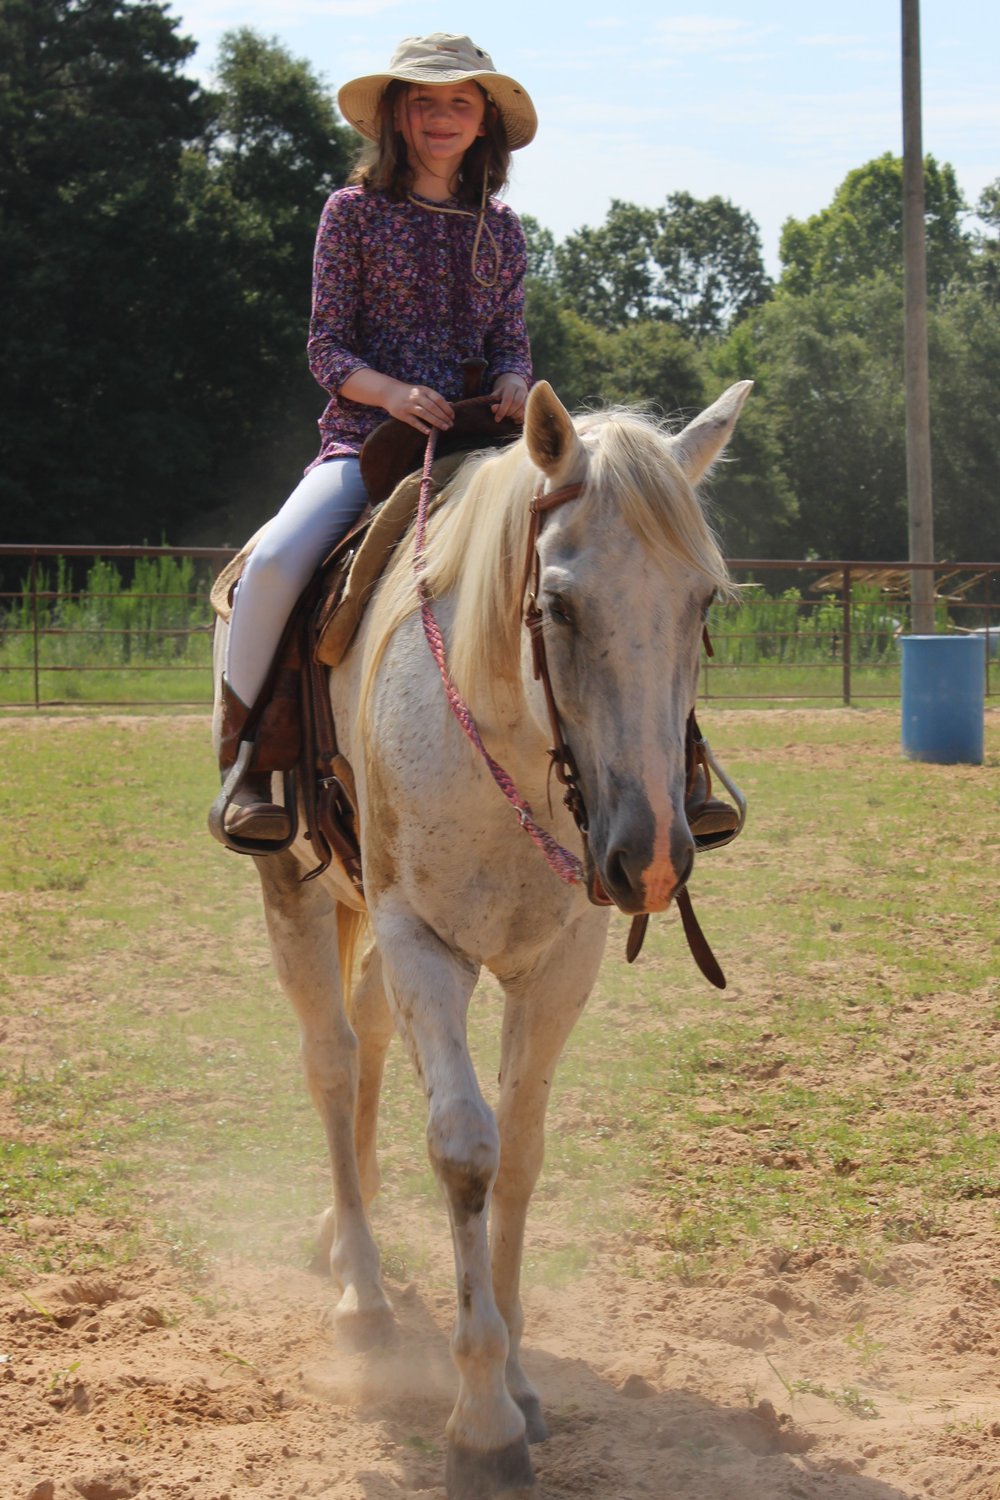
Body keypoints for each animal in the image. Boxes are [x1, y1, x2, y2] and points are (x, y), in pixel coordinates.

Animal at [211, 378, 751, 1498]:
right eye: (558, 605)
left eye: (702, 604)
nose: (650, 857)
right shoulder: (426, 943)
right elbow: (464, 1149)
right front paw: (484, 1420)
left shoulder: (558, 965)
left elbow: (521, 1154)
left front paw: (523, 1379)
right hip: (294, 891)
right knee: (332, 1060)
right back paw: (362, 1294)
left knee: (369, 1040)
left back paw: (345, 1237)